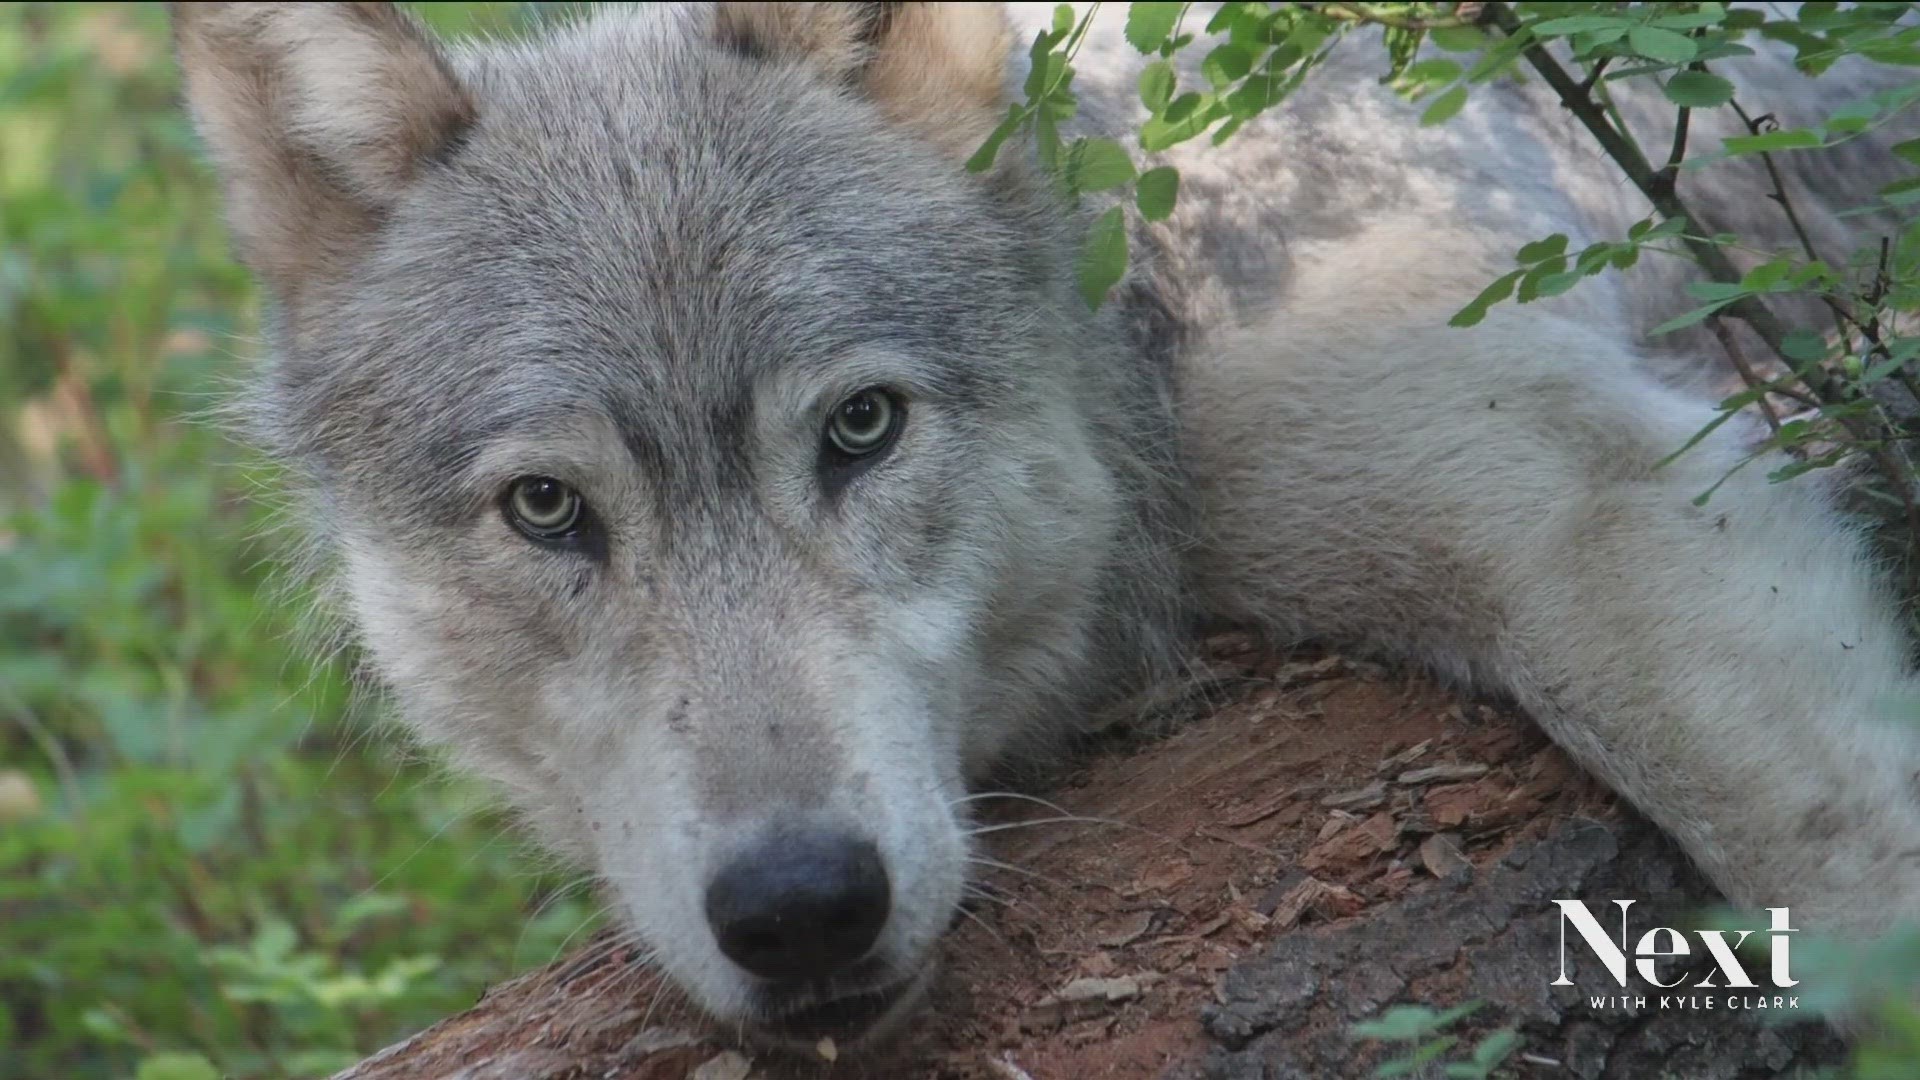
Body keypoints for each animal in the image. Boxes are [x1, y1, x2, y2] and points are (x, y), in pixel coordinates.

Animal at [173, 0, 1920, 1050]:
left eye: (859, 428)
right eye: (550, 508)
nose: (800, 910)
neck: (1146, 278)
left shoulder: (1559, 486)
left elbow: (1844, 878)